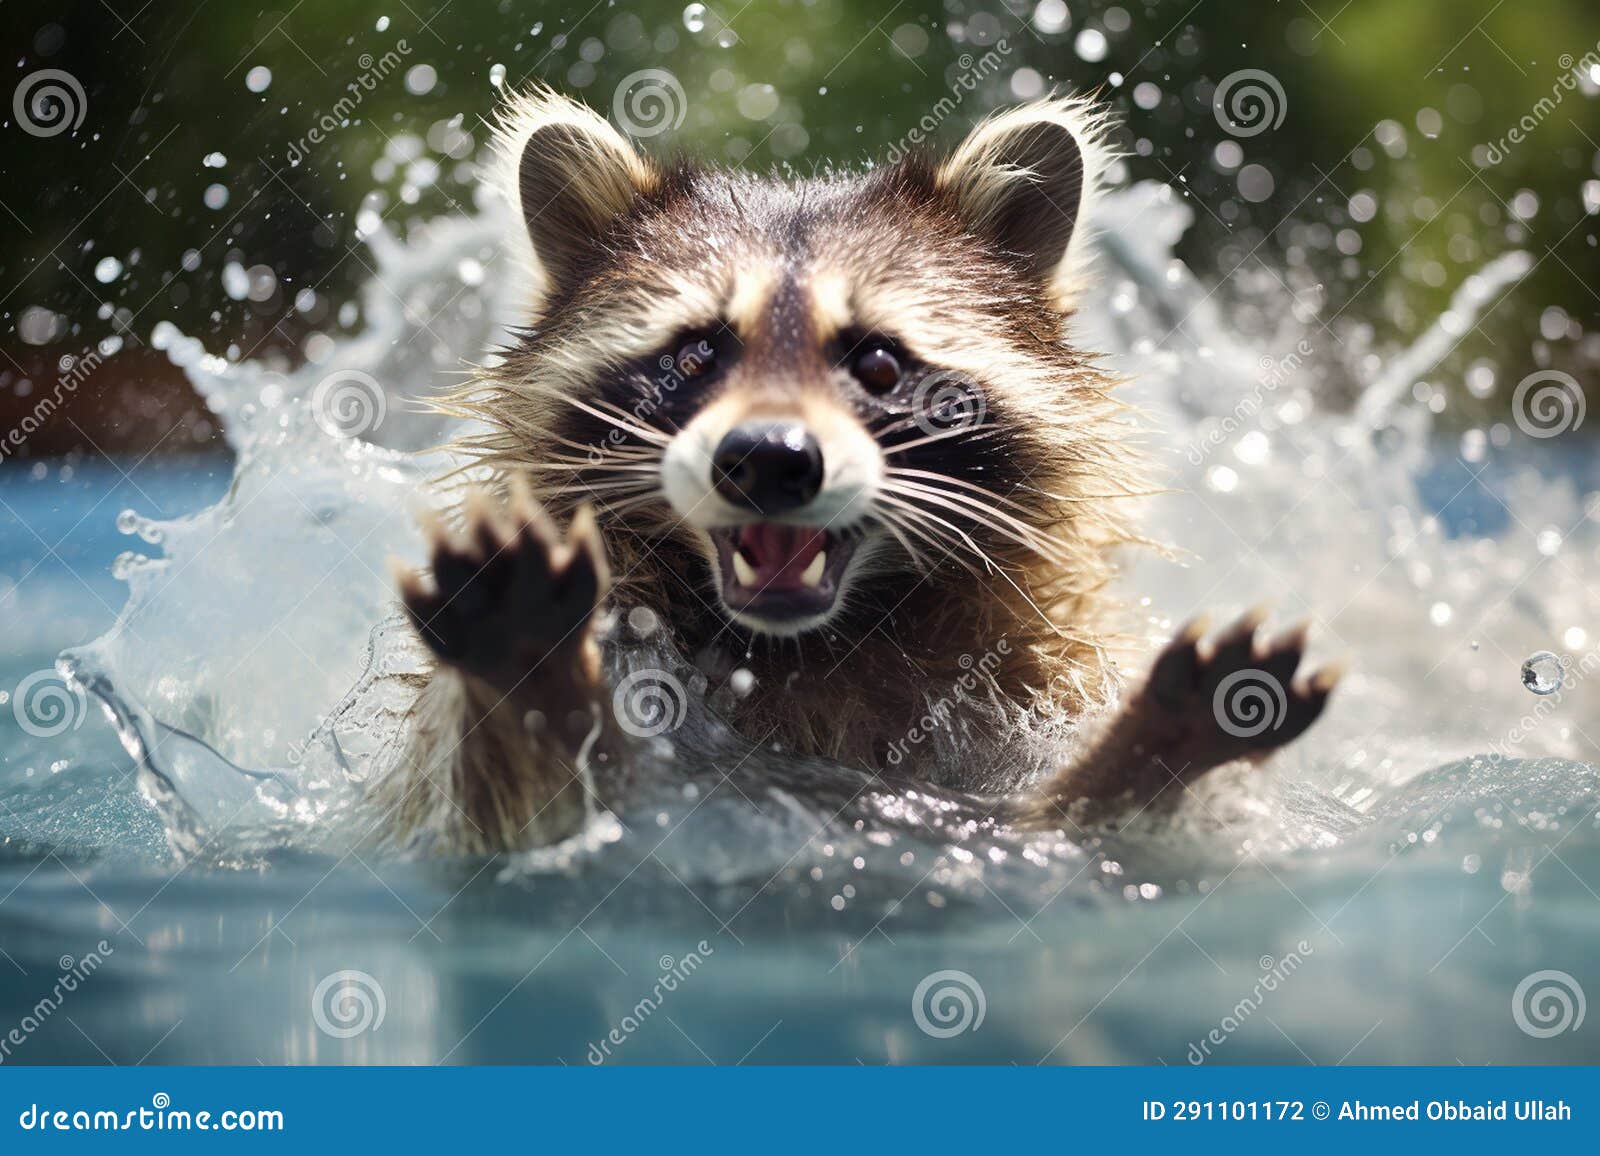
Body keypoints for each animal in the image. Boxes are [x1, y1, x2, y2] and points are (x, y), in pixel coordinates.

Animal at [375, 88, 1339, 855]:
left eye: (877, 363)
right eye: (695, 355)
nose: (768, 459)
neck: (811, 644)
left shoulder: (1034, 687)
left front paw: (1147, 752)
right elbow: (504, 823)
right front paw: (529, 681)